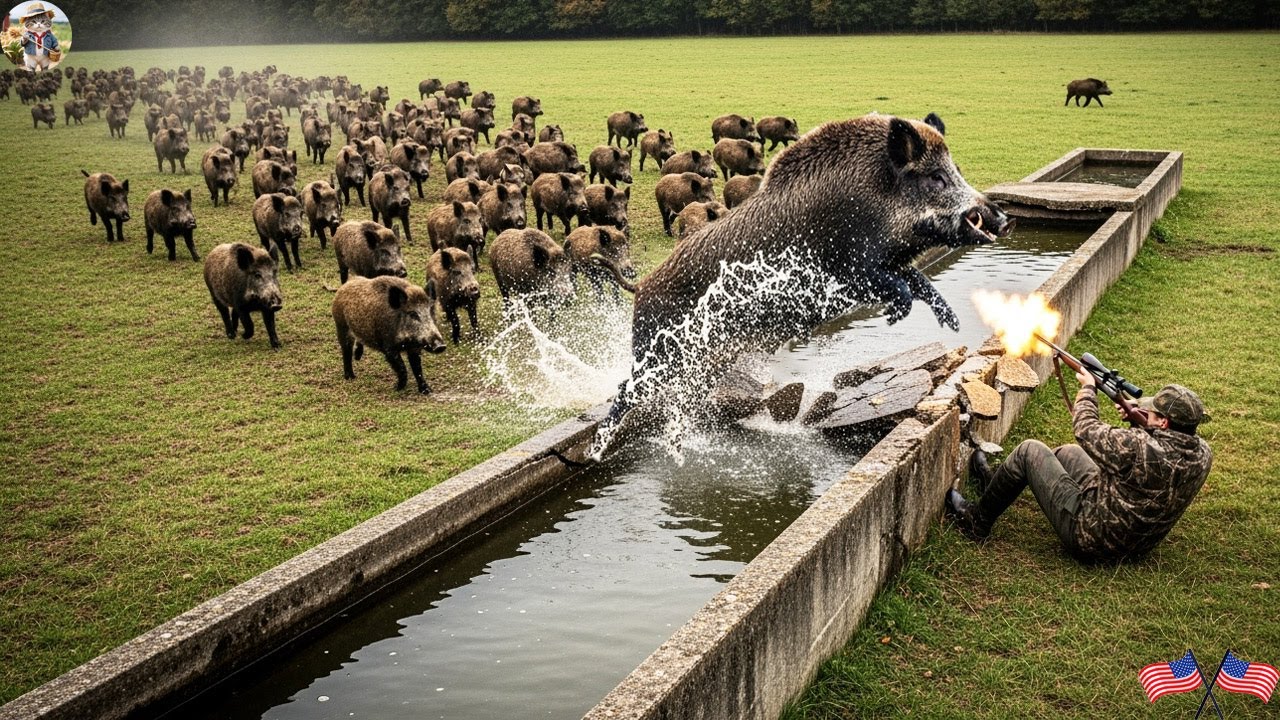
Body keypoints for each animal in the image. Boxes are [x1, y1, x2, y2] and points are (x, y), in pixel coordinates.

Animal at [591, 113, 1015, 456]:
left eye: (955, 169)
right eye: (936, 177)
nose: (1002, 217)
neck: (873, 198)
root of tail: (642, 287)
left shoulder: (887, 267)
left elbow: (920, 281)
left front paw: (951, 323)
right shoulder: (848, 268)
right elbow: (902, 287)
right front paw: (898, 316)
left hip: (705, 358)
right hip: (659, 352)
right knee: (626, 388)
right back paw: (601, 451)